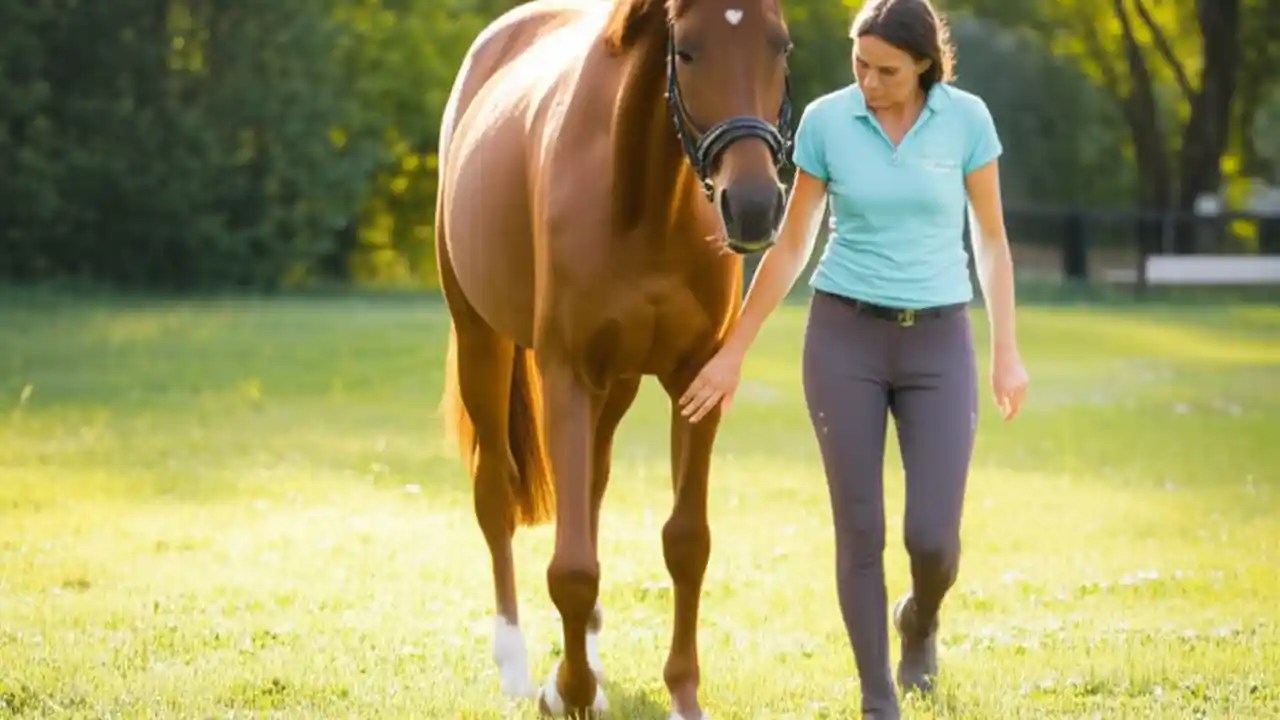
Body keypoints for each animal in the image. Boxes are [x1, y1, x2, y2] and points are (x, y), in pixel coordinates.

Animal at [435, 0, 794, 716]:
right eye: (687, 51)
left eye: (781, 46)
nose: (753, 206)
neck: (642, 202)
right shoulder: (567, 375)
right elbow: (571, 567)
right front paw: (568, 692)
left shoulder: (697, 381)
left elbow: (687, 543)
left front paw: (682, 693)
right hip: (481, 341)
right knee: (495, 494)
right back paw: (516, 665)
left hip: (616, 384)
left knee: (592, 491)